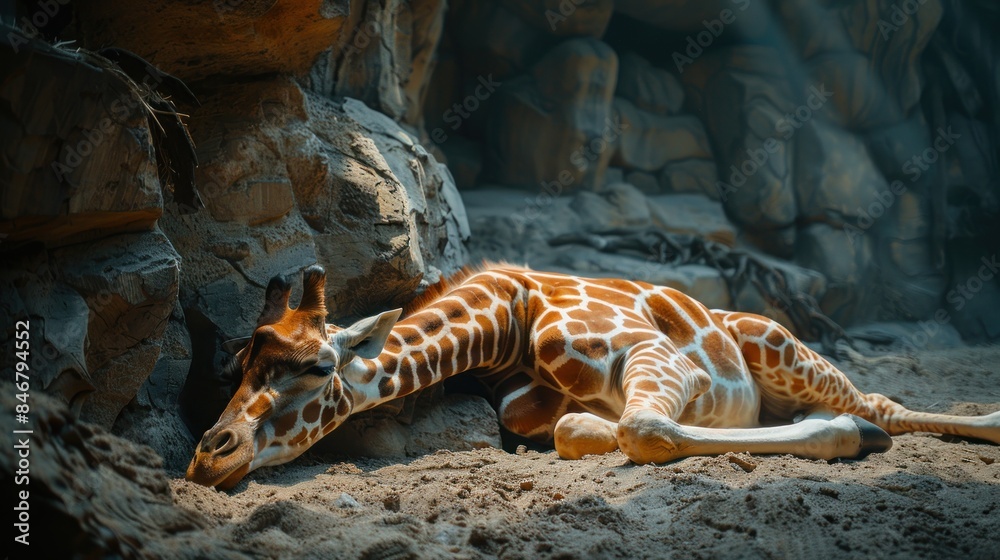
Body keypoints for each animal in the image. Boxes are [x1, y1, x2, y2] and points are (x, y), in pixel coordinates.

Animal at [186, 263, 1000, 489]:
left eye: (316, 365)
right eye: (238, 366)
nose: (207, 457)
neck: (507, 321)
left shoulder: (654, 356)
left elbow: (643, 428)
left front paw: (844, 436)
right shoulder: (525, 407)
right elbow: (579, 427)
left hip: (772, 341)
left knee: (883, 405)